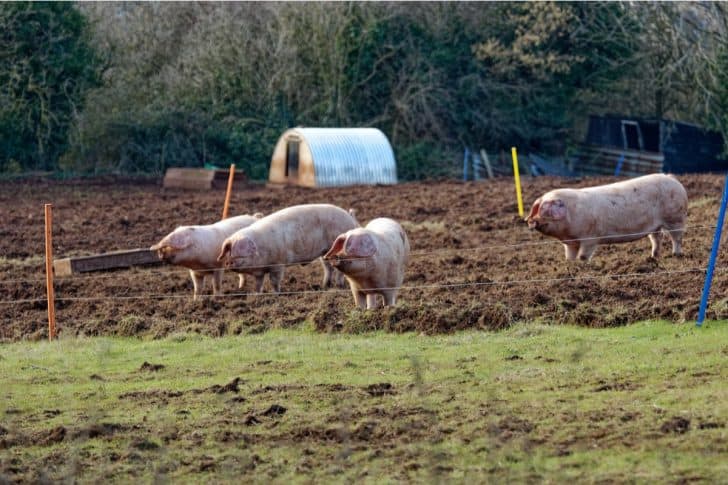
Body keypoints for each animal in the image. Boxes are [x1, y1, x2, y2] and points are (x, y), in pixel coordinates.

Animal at [216, 204, 359, 292]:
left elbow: (274, 281)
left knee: (339, 268)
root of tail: (350, 217)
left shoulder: (278, 264)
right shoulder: (260, 272)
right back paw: (324, 286)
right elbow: (258, 283)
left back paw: (339, 285)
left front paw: (277, 294)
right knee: (328, 267)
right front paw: (257, 294)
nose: (228, 262)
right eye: (230, 251)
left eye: (241, 251)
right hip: (324, 252)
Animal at [525, 173, 687, 261]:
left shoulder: (590, 238)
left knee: (677, 238)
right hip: (655, 225)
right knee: (657, 238)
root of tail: (672, 178)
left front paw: (582, 265)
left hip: (676, 218)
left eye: (545, 210)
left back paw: (676, 254)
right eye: (538, 208)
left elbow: (583, 256)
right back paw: (653, 257)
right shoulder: (570, 243)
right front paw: (569, 264)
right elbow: (569, 256)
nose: (531, 221)